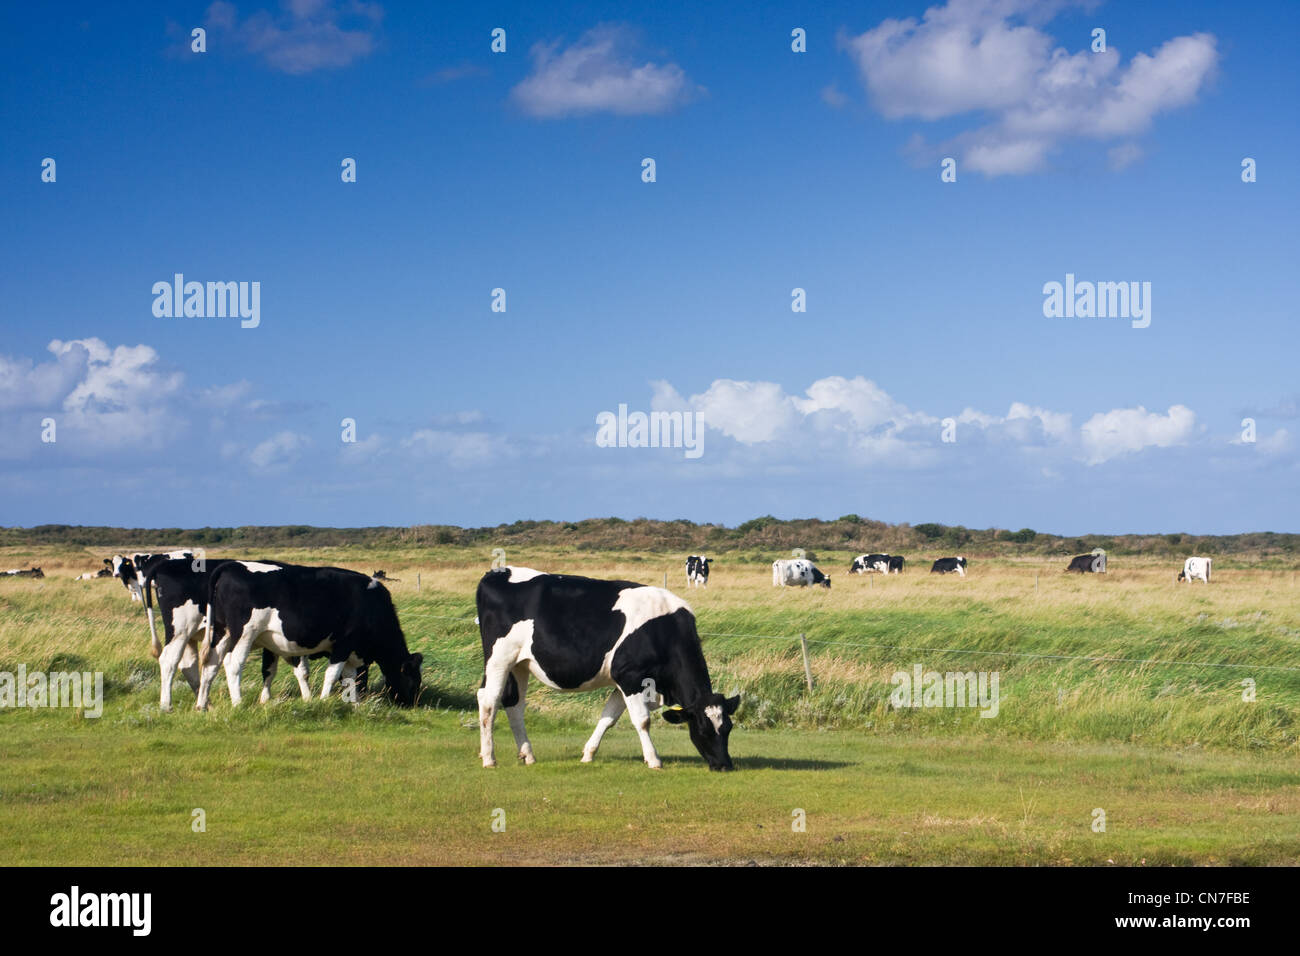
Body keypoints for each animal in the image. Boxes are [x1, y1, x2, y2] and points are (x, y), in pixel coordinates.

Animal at [196, 562, 422, 711]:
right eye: (413, 679)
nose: (413, 704)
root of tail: (231, 566)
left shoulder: (352, 651)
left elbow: (350, 677)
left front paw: (353, 703)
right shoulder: (343, 644)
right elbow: (333, 674)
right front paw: (324, 700)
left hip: (220, 632)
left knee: (211, 665)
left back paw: (201, 705)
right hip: (244, 633)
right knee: (233, 665)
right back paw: (238, 703)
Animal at [475, 567, 739, 771]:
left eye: (728, 728)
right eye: (703, 729)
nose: (725, 765)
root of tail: (496, 572)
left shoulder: (624, 682)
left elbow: (608, 718)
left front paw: (588, 754)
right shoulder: (629, 676)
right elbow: (642, 720)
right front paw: (654, 760)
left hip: (520, 664)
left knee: (514, 704)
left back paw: (528, 755)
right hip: (499, 658)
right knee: (489, 701)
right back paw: (489, 758)